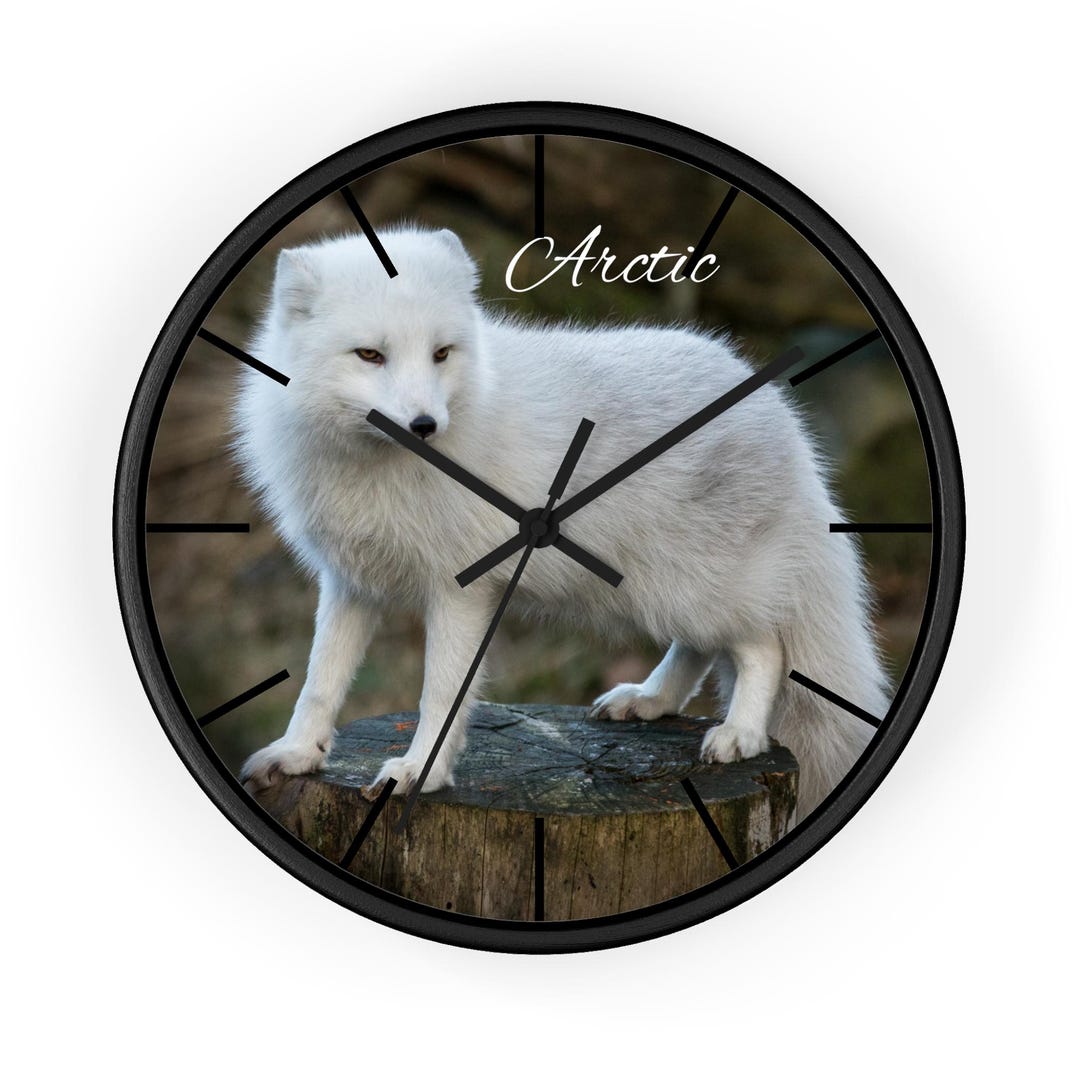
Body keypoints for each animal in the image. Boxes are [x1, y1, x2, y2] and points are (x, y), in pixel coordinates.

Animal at [234, 226, 889, 818]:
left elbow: (442, 692)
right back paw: (651, 699)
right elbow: (320, 681)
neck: (373, 469)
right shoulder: (349, 579)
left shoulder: (461, 588)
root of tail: (783, 416)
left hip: (692, 587)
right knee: (703, 649)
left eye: (441, 354)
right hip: (660, 590)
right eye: (370, 355)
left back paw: (740, 735)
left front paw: (421, 773)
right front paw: (298, 754)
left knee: (763, 647)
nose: (424, 426)